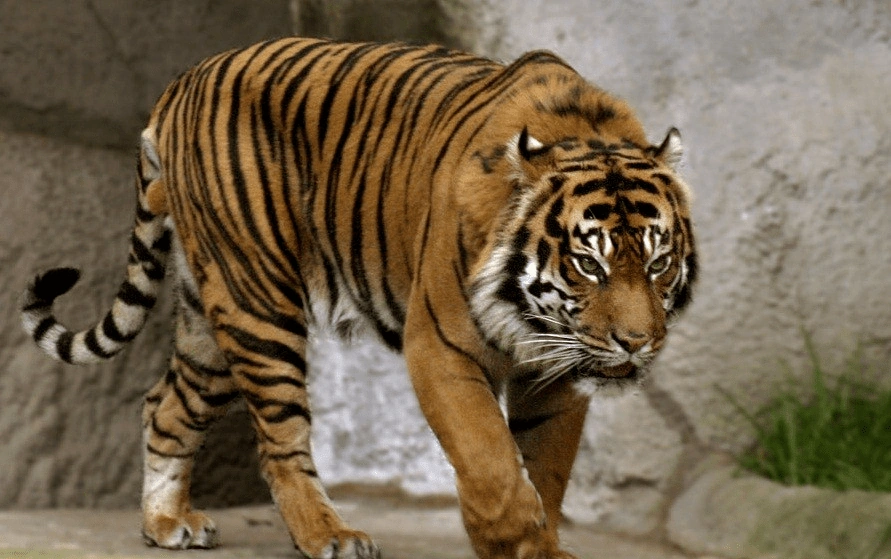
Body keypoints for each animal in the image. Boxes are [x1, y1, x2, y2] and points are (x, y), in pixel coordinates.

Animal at [20, 37, 696, 559]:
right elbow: (493, 465)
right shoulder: (442, 348)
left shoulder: (556, 371)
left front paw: (541, 540)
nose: (636, 343)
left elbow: (545, 471)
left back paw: (165, 522)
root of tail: (179, 85)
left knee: (164, 404)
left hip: (208, 316)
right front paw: (513, 539)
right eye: (589, 264)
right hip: (257, 302)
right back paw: (329, 534)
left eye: (659, 263)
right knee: (280, 439)